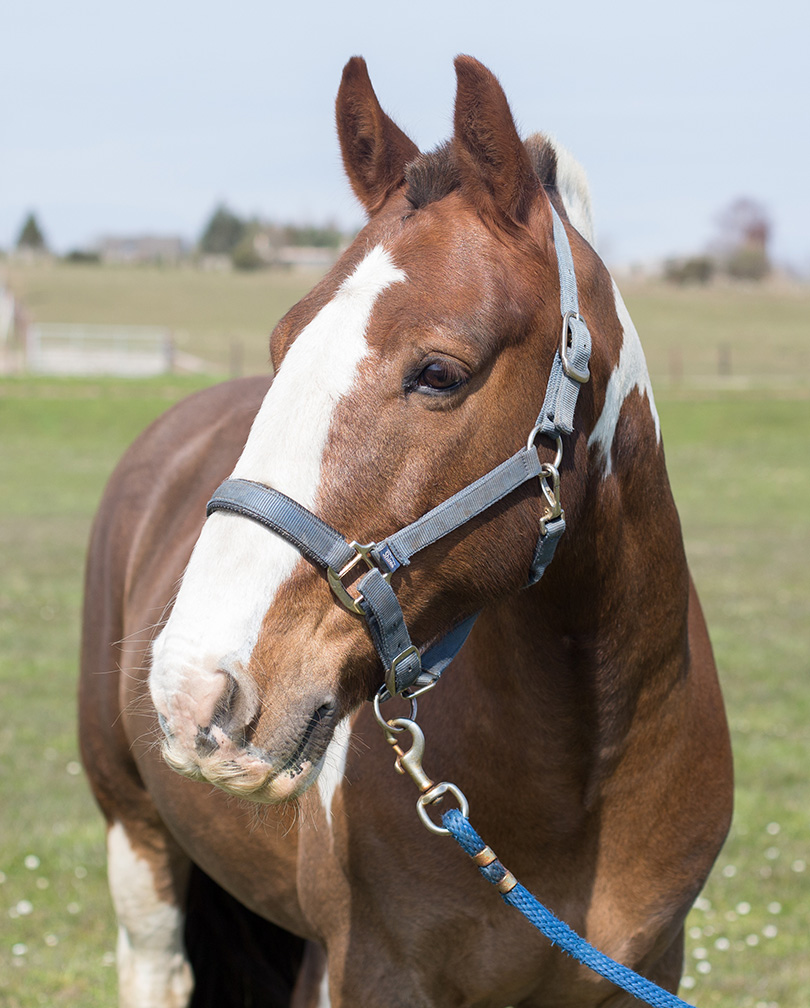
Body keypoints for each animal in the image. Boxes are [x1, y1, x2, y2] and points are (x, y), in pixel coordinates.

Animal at [80, 55, 733, 1008]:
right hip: (137, 839)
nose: (194, 690)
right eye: (282, 343)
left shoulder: (646, 966)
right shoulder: (374, 970)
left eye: (439, 373)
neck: (584, 771)